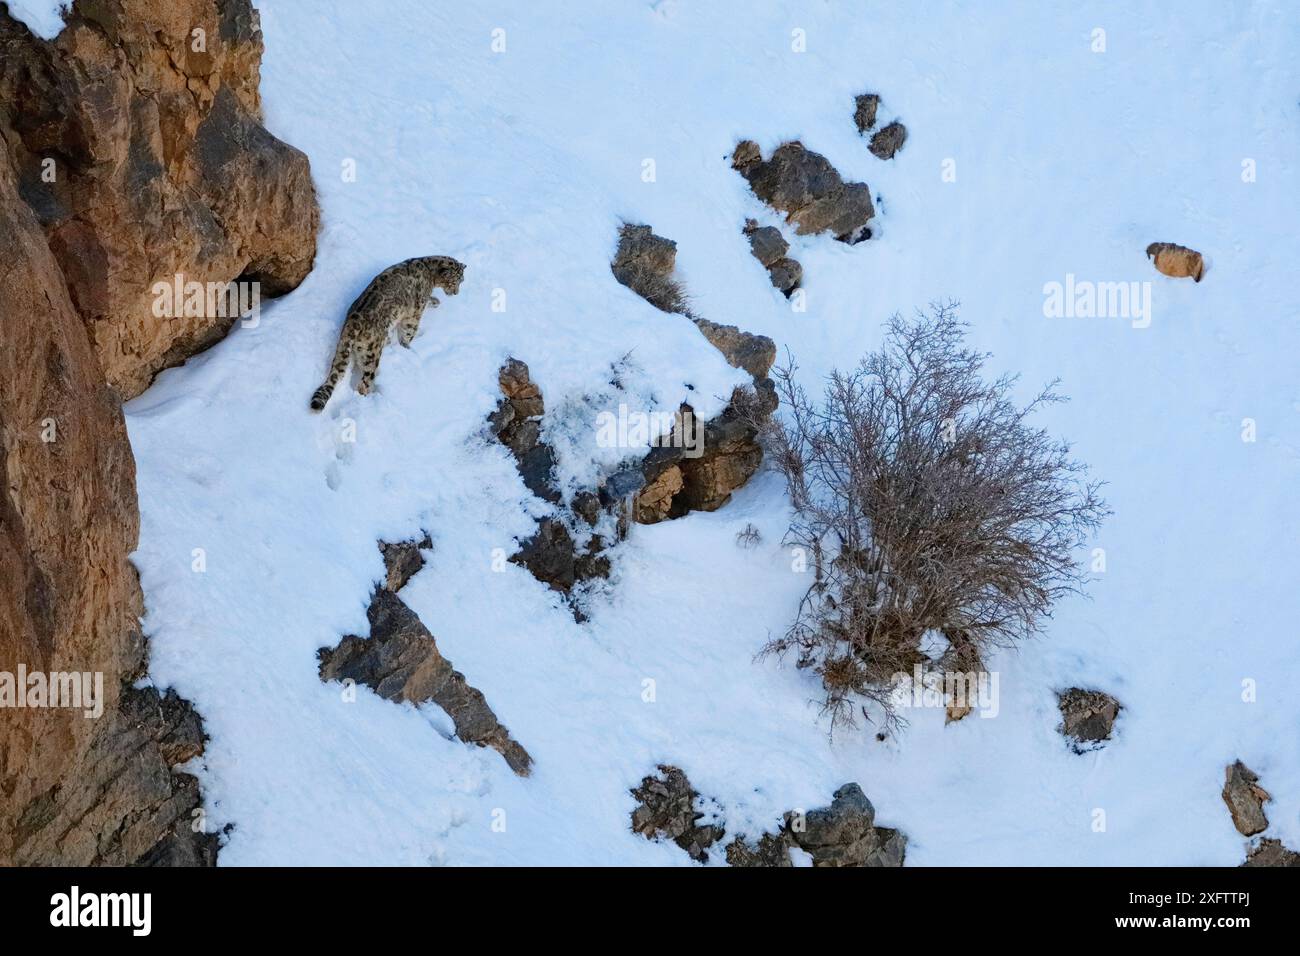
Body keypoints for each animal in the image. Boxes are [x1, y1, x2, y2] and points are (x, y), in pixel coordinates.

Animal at [310, 255, 465, 411]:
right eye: (455, 281)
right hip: (372, 355)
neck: (429, 271)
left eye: (461, 280)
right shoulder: (413, 315)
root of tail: (353, 321)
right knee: (364, 383)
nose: (456, 293)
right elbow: (409, 332)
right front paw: (408, 348)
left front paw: (435, 301)